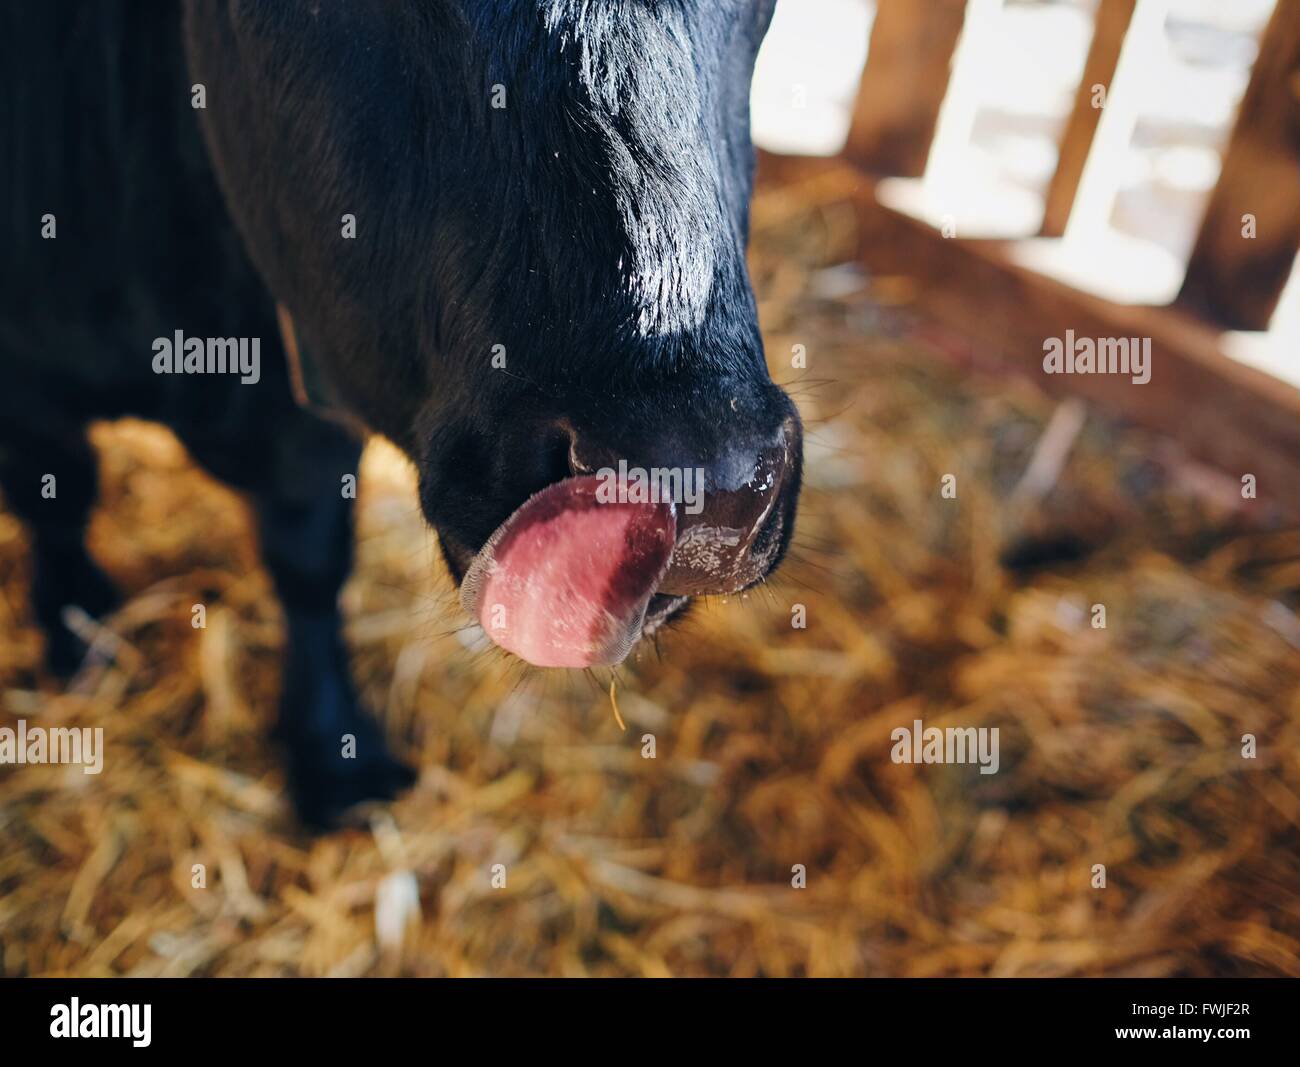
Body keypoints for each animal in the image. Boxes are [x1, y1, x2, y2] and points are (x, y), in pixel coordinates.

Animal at [0, 1, 802, 826]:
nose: (704, 480)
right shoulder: (25, 384)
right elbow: (57, 494)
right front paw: (74, 627)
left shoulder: (308, 405)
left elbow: (309, 565)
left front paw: (334, 752)